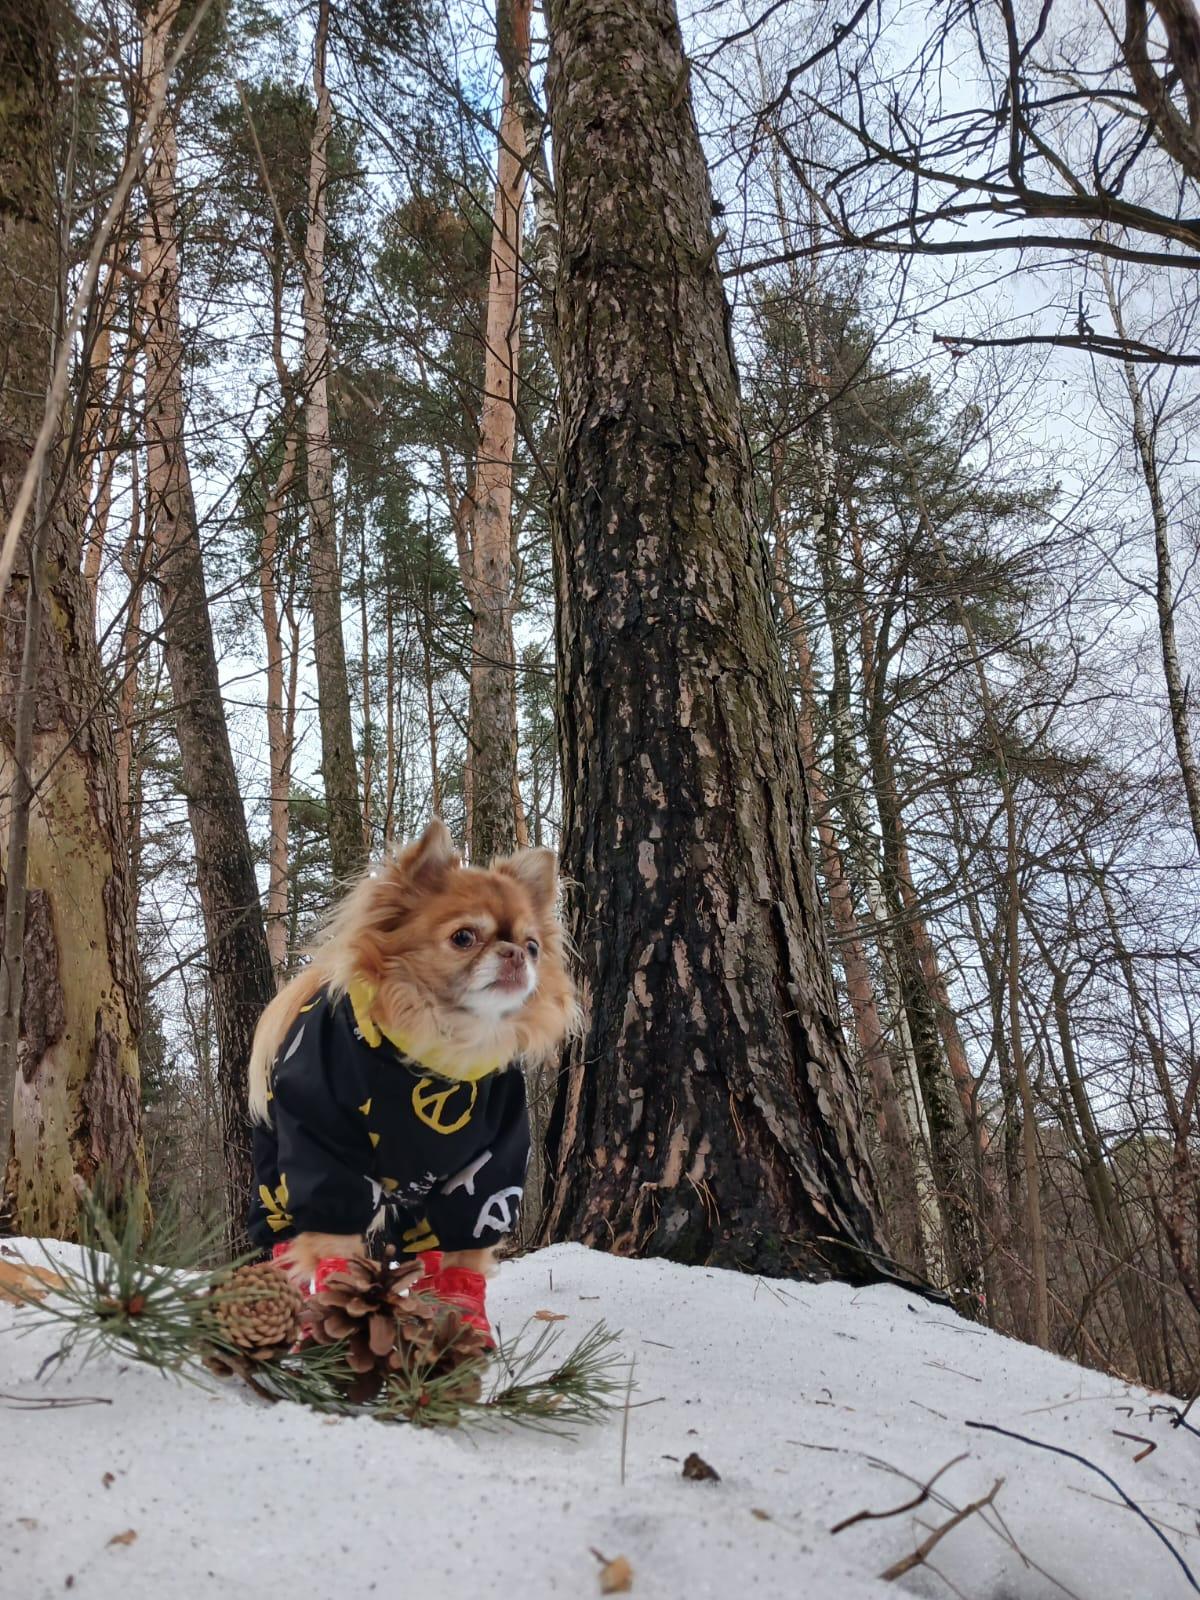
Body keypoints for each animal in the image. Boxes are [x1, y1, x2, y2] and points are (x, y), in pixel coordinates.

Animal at [246, 819, 576, 1305]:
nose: (516, 953)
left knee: (426, 1247)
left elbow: (463, 1259)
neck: (440, 1044)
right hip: (274, 1175)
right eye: (463, 937)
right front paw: (340, 1317)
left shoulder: (486, 1175)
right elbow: (332, 1247)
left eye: (533, 947)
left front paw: (462, 1320)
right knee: (283, 1238)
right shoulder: (325, 1161)